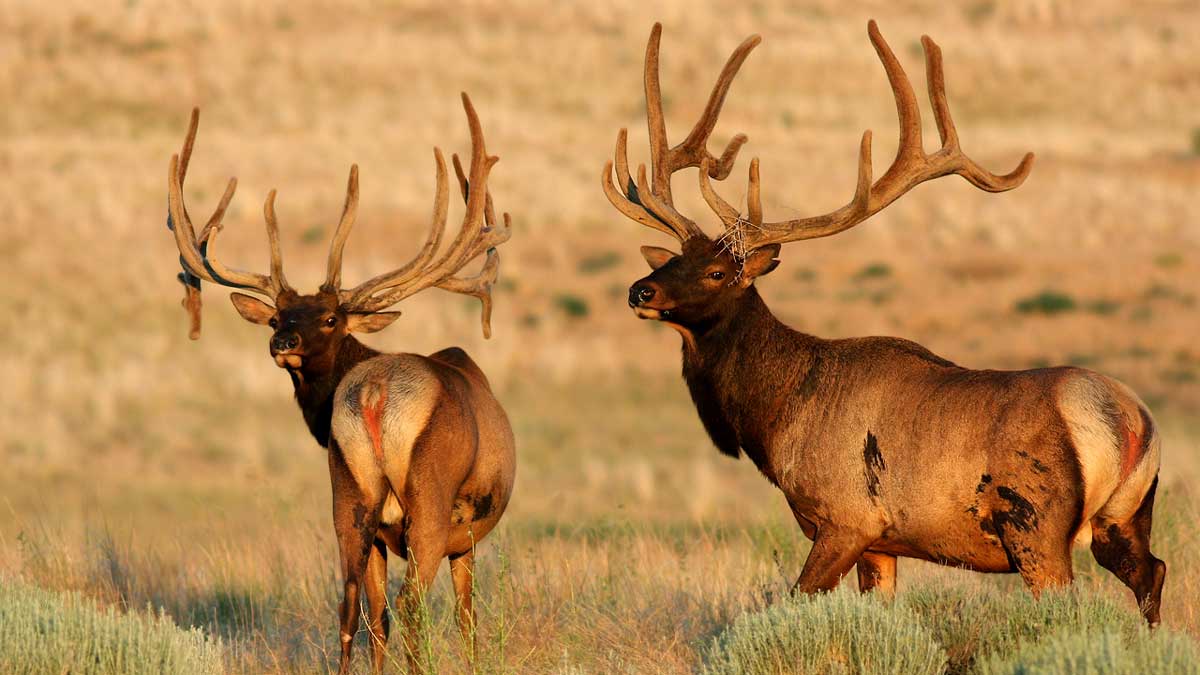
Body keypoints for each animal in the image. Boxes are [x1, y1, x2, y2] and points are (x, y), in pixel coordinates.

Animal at [164, 94, 516, 673]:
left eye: (328, 319)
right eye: (277, 316)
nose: (281, 340)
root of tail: (375, 394)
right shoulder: (466, 534)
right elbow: (467, 620)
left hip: (348, 493)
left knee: (355, 605)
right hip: (429, 498)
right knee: (409, 602)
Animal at [604, 21, 1165, 626]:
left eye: (716, 271)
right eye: (669, 259)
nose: (640, 290)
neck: (777, 415)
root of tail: (1129, 421)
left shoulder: (846, 517)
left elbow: (799, 596)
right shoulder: (882, 542)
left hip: (1034, 522)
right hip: (1124, 517)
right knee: (1153, 572)